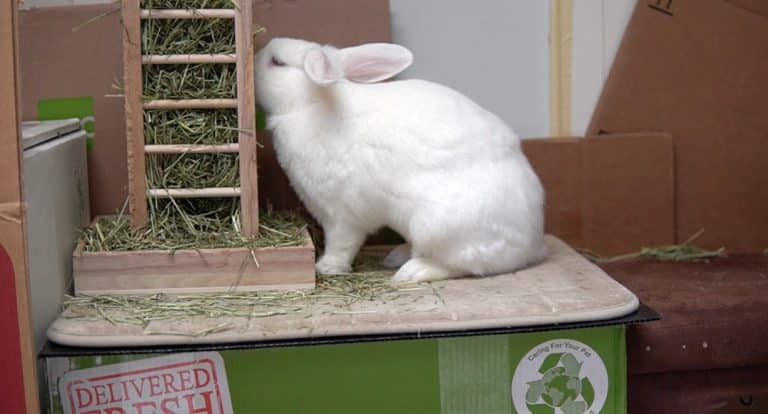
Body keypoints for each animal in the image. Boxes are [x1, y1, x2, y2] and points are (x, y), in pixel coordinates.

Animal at [255, 38, 546, 283]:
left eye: (277, 62)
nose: (255, 56)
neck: (311, 105)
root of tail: (533, 241)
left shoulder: (341, 214)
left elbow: (342, 244)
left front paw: (326, 267)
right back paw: (398, 255)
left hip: (438, 227)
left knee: (468, 265)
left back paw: (412, 271)